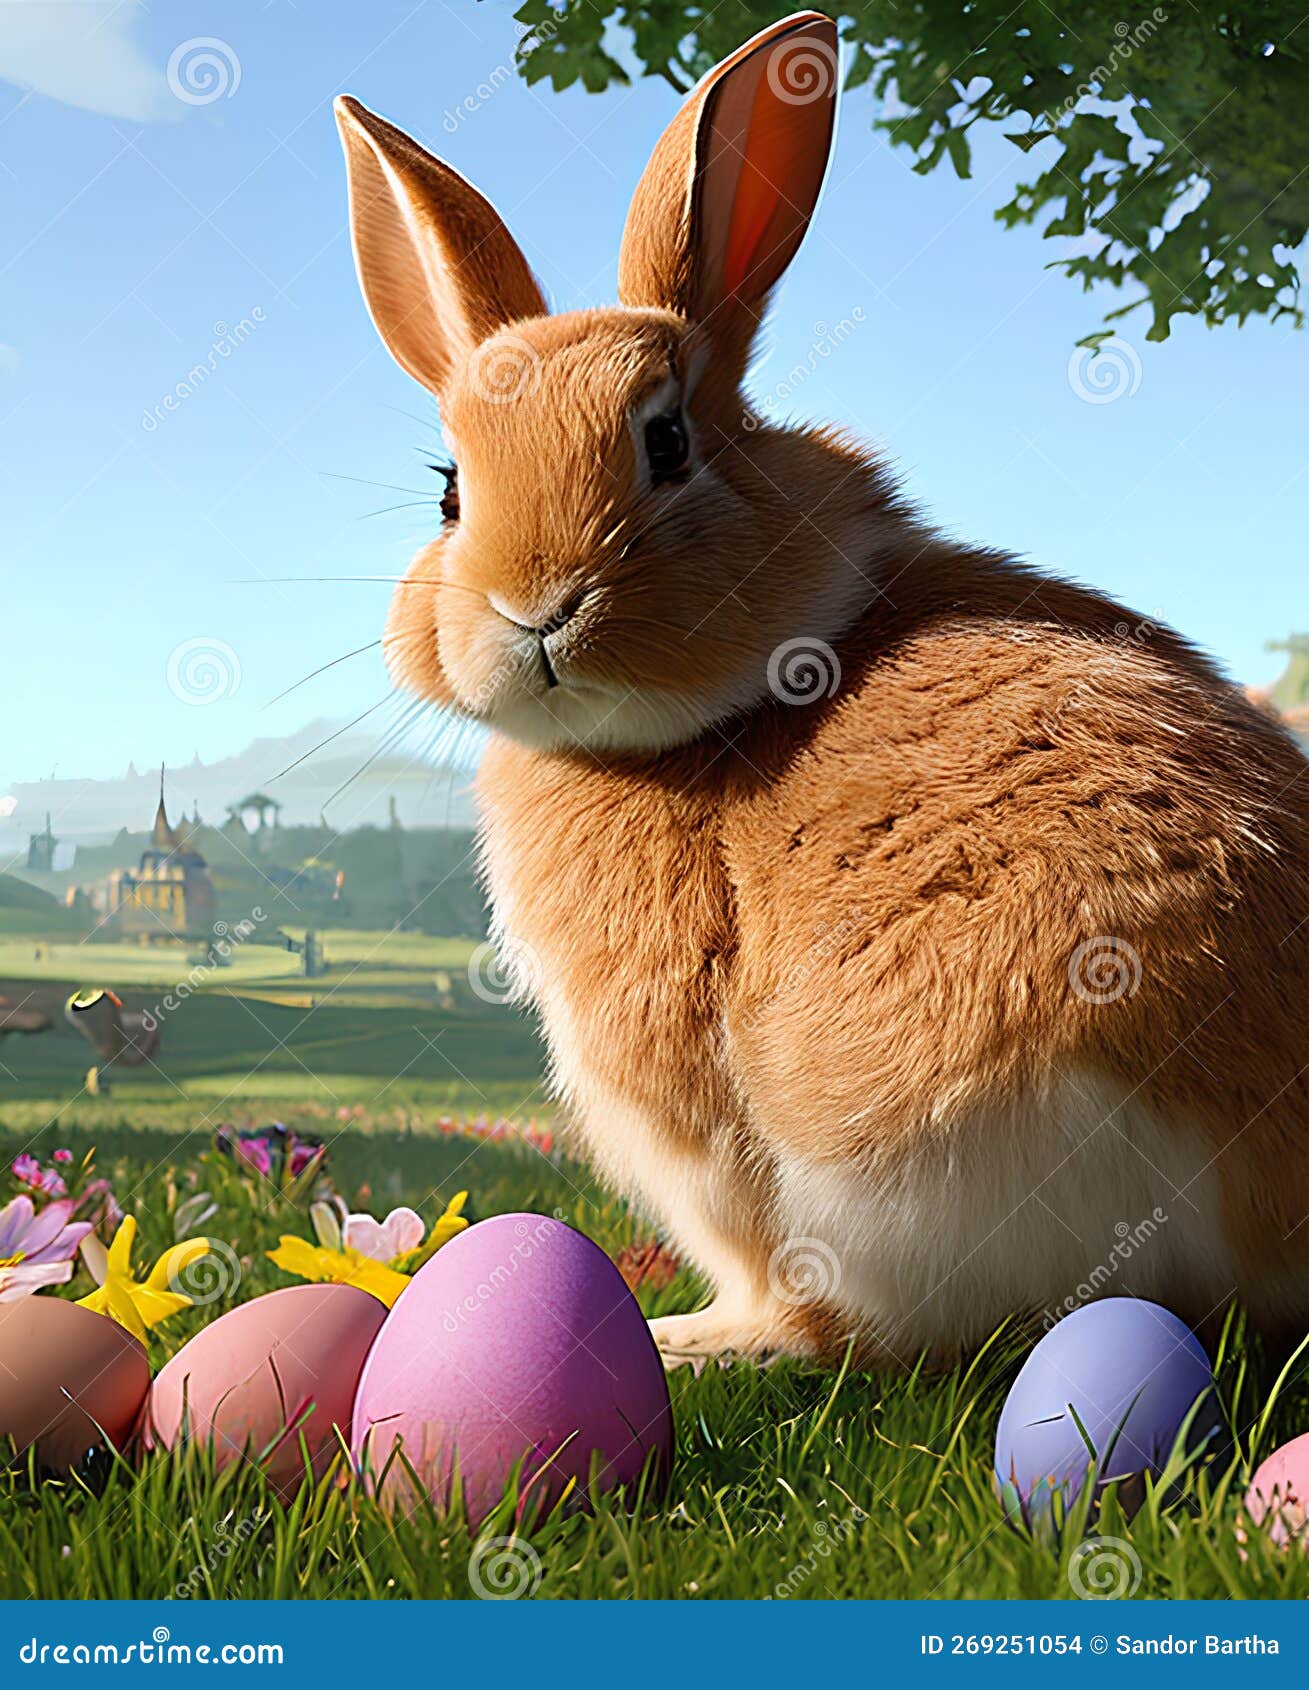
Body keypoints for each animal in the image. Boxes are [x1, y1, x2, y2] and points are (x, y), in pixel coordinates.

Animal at [335, 10, 1309, 1370]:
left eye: (668, 442)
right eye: (447, 492)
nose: (537, 607)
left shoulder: (688, 1103)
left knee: (835, 1315)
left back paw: (700, 1338)